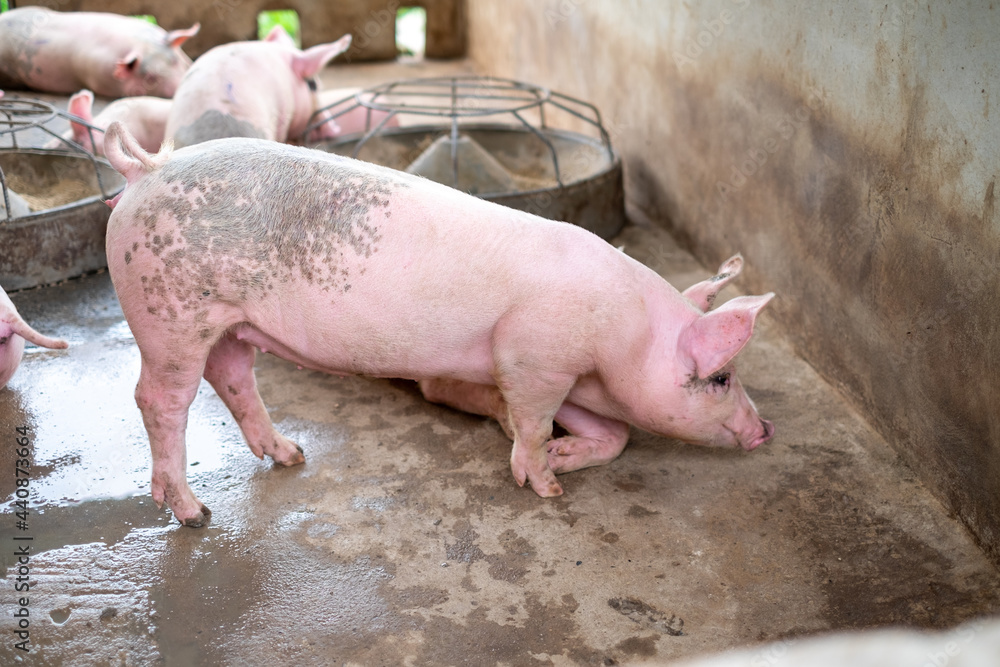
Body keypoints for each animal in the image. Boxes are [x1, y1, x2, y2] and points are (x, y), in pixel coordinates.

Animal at [102, 122, 775, 527]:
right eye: (721, 378)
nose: (765, 430)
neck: (619, 344)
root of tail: (145, 168)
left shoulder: (572, 378)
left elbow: (616, 437)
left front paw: (562, 456)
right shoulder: (531, 355)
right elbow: (531, 422)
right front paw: (546, 486)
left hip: (229, 322)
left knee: (233, 377)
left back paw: (291, 456)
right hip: (168, 313)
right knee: (159, 399)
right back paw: (195, 514)